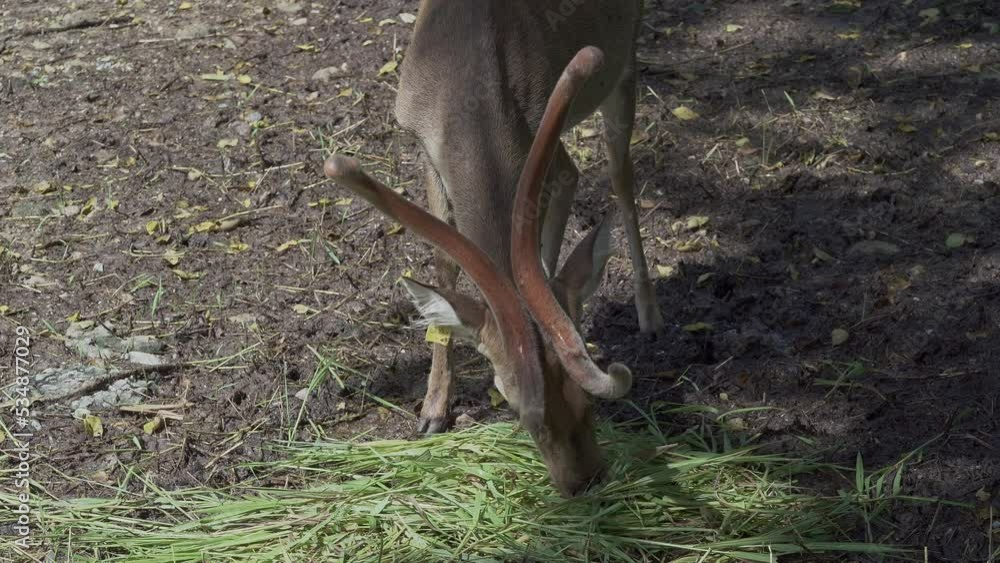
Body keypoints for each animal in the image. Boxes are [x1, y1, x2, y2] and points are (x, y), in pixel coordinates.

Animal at [323, 1, 662, 497]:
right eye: (519, 413)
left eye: (588, 400)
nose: (584, 480)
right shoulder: (423, 144)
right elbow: (444, 263)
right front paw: (432, 411)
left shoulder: (532, 131)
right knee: (572, 171)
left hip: (625, 59)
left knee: (619, 170)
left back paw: (647, 311)